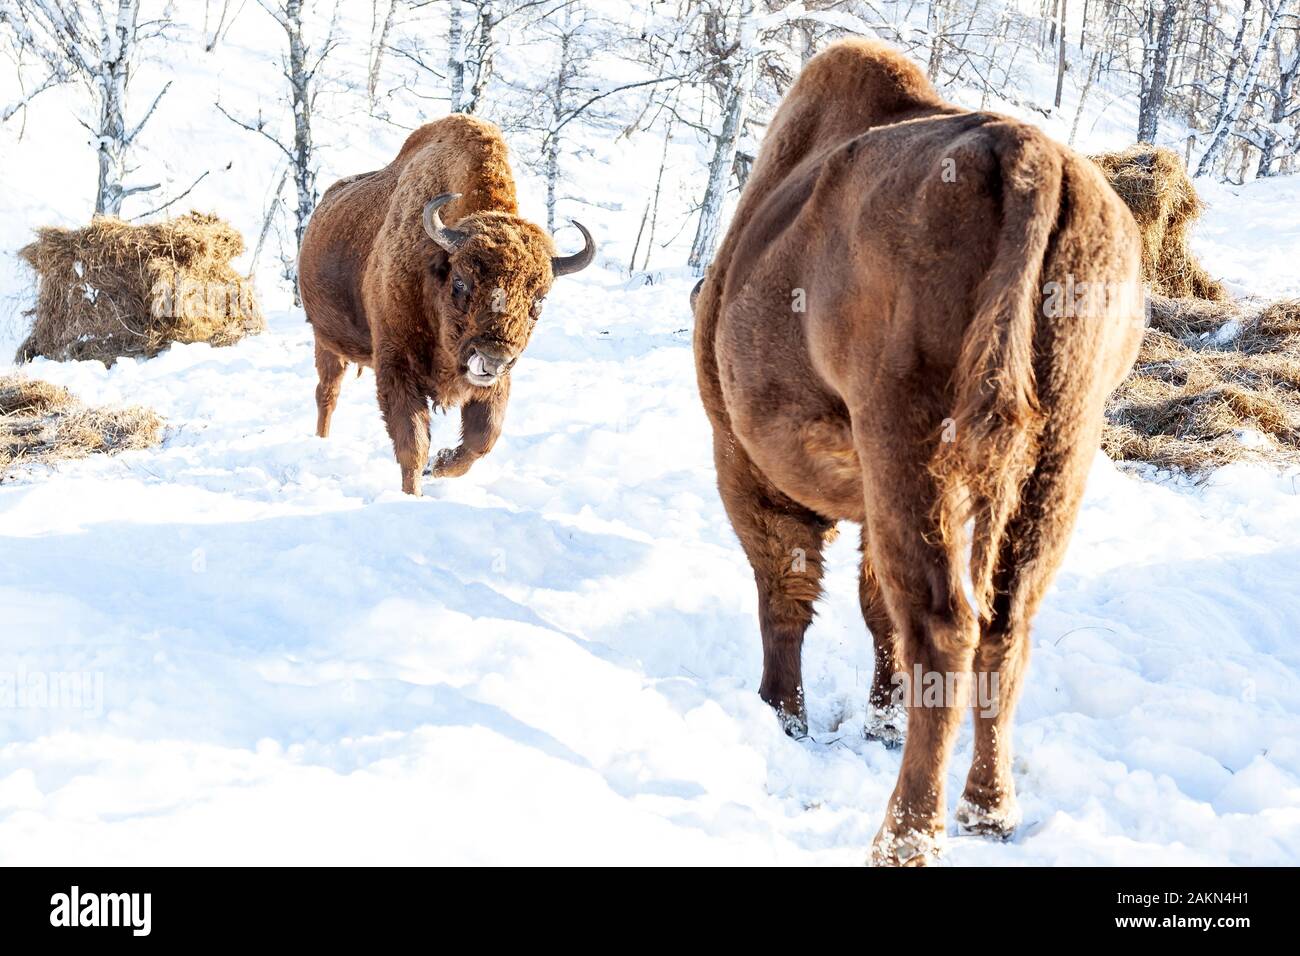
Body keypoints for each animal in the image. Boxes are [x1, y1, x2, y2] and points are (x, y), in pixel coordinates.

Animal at [299, 115, 595, 495]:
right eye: (460, 282)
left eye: (539, 301)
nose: (493, 357)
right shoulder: (396, 365)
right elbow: (412, 443)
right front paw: (413, 491)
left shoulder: (494, 385)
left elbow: (482, 438)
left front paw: (438, 467)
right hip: (326, 342)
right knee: (327, 393)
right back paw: (321, 442)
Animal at [692, 39, 1142, 865]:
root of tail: (1026, 157)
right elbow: (875, 608)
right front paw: (878, 718)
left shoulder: (744, 462)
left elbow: (787, 593)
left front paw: (781, 713)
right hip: (1062, 445)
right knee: (1004, 623)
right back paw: (988, 811)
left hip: (906, 432)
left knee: (943, 625)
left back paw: (904, 834)